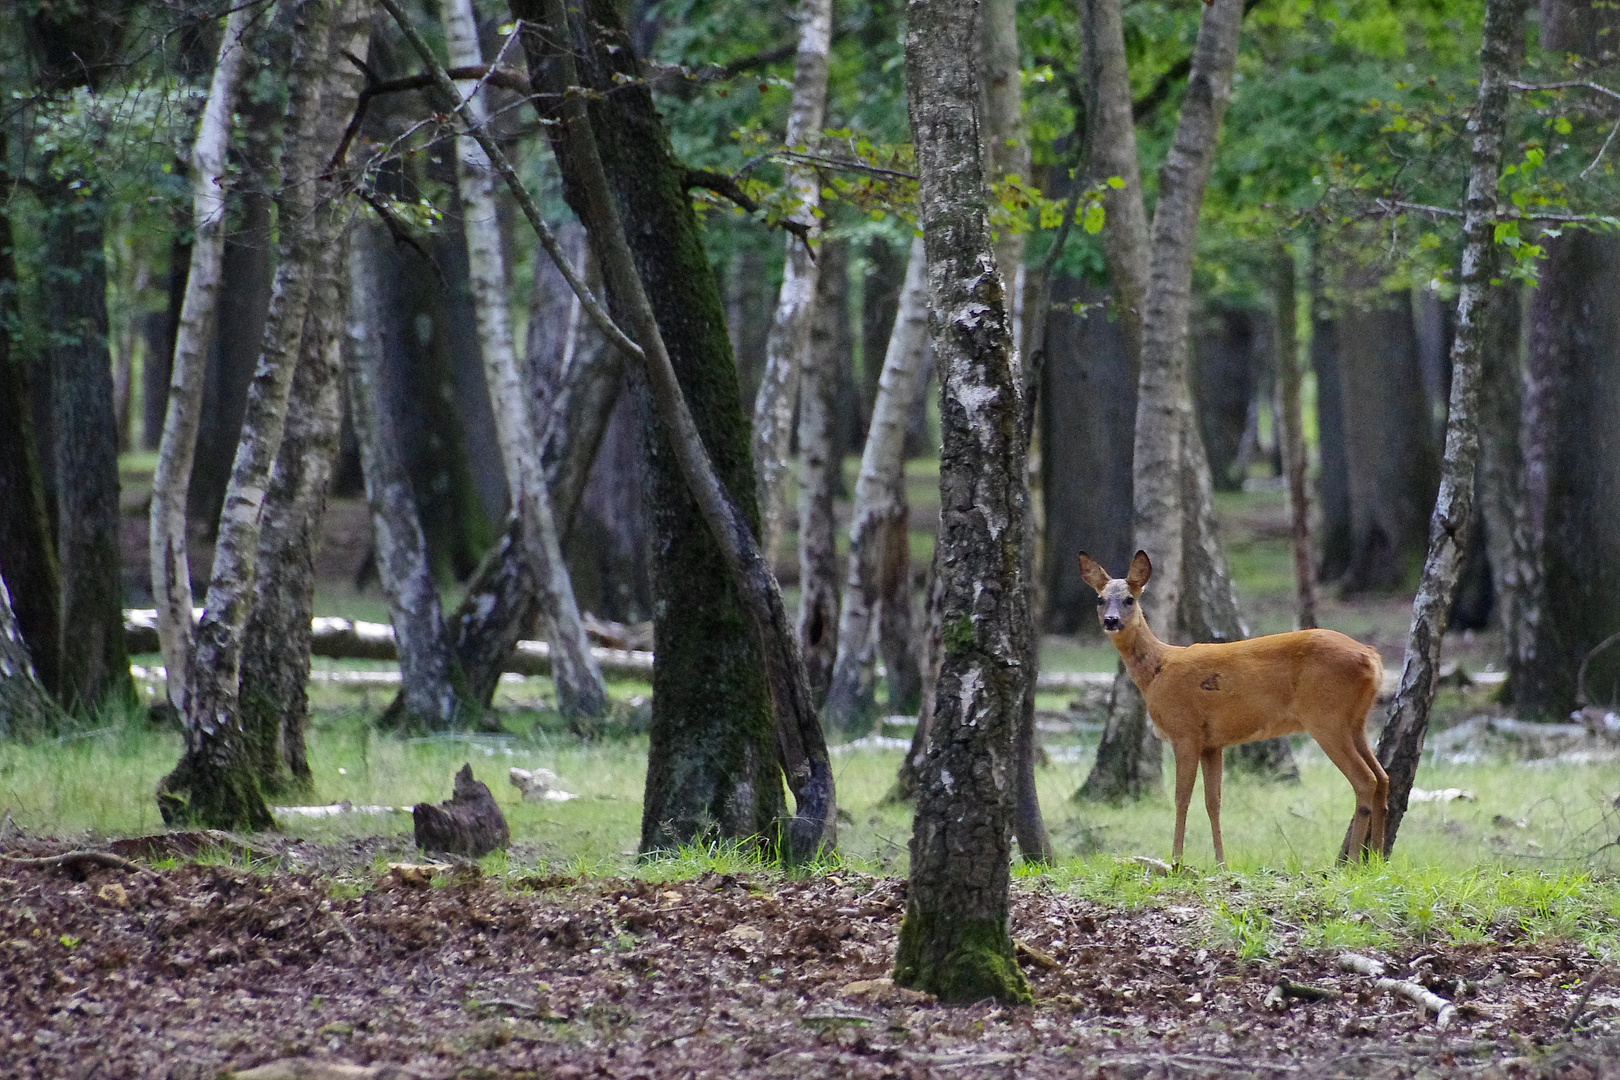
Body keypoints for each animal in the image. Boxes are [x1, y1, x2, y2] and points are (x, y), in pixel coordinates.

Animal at [1075, 553, 1393, 867]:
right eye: (1100, 599)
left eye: (1129, 599)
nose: (1111, 620)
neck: (1157, 670)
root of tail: (1373, 657)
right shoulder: (1212, 743)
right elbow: (1213, 801)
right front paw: (1221, 863)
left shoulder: (1185, 730)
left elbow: (1182, 797)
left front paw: (1176, 861)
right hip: (1355, 721)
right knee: (1383, 777)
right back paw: (1378, 859)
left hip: (1326, 717)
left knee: (1365, 780)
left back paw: (1354, 862)